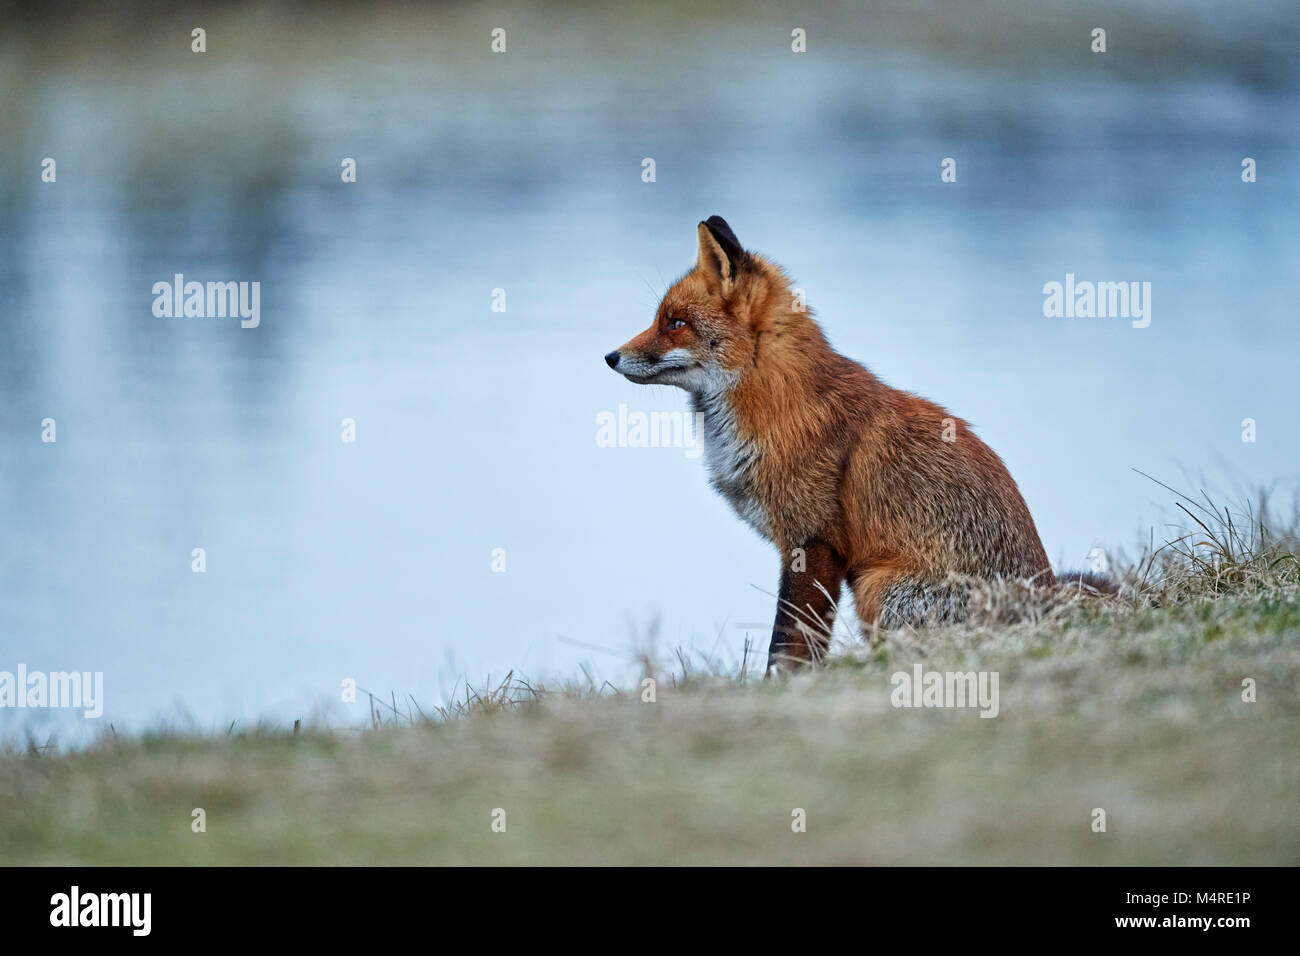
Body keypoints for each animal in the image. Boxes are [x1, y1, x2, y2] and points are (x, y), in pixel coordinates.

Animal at [606, 215, 1081, 673]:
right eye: (662, 319)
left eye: (676, 324)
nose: (610, 357)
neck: (770, 398)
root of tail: (1048, 602)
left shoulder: (813, 540)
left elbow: (789, 640)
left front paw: (783, 684)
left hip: (879, 590)